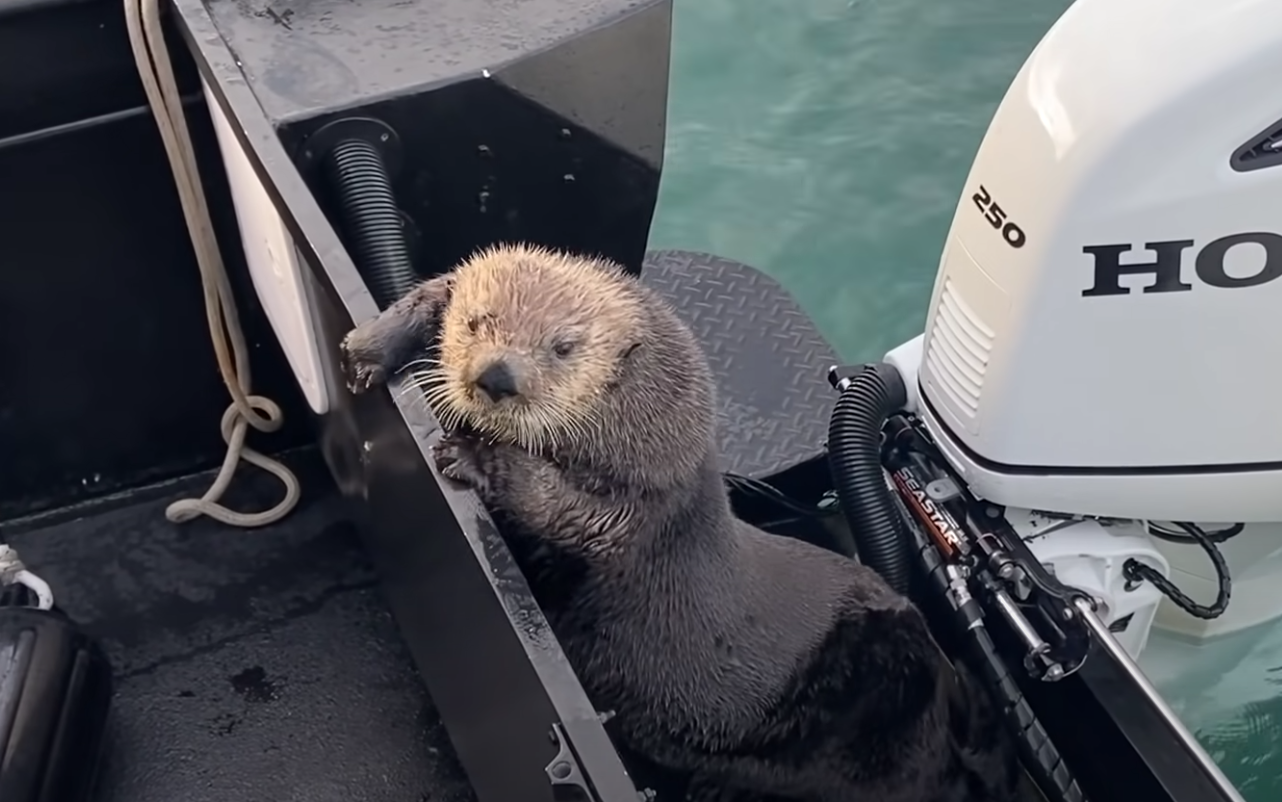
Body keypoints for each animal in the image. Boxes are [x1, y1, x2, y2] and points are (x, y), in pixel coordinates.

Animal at [340, 244, 1021, 802]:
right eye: (477, 322)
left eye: (563, 346)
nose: (496, 376)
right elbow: (435, 288)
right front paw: (370, 348)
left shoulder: (638, 500)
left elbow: (563, 507)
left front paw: (470, 454)